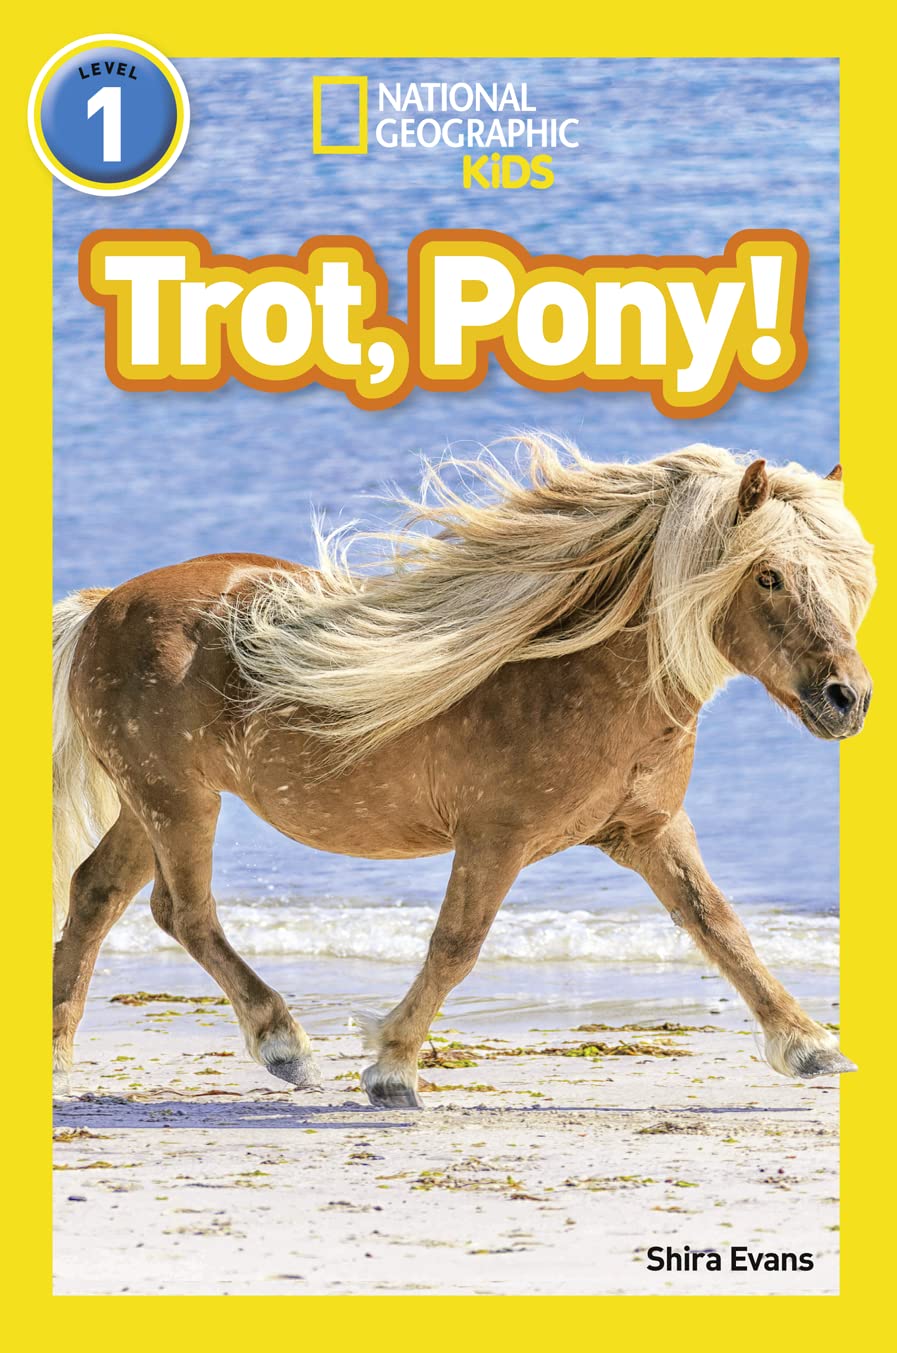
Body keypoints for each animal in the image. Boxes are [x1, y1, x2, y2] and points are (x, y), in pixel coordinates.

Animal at [52, 438, 875, 1108]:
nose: (849, 698)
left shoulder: (649, 831)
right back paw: (286, 1046)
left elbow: (720, 927)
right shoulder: (494, 838)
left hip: (152, 803)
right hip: (177, 800)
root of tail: (105, 606)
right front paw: (391, 1069)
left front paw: (808, 1046)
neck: (577, 673)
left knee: (97, 892)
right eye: (768, 576)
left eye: (849, 579)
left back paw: (59, 1058)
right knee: (184, 913)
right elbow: (455, 945)